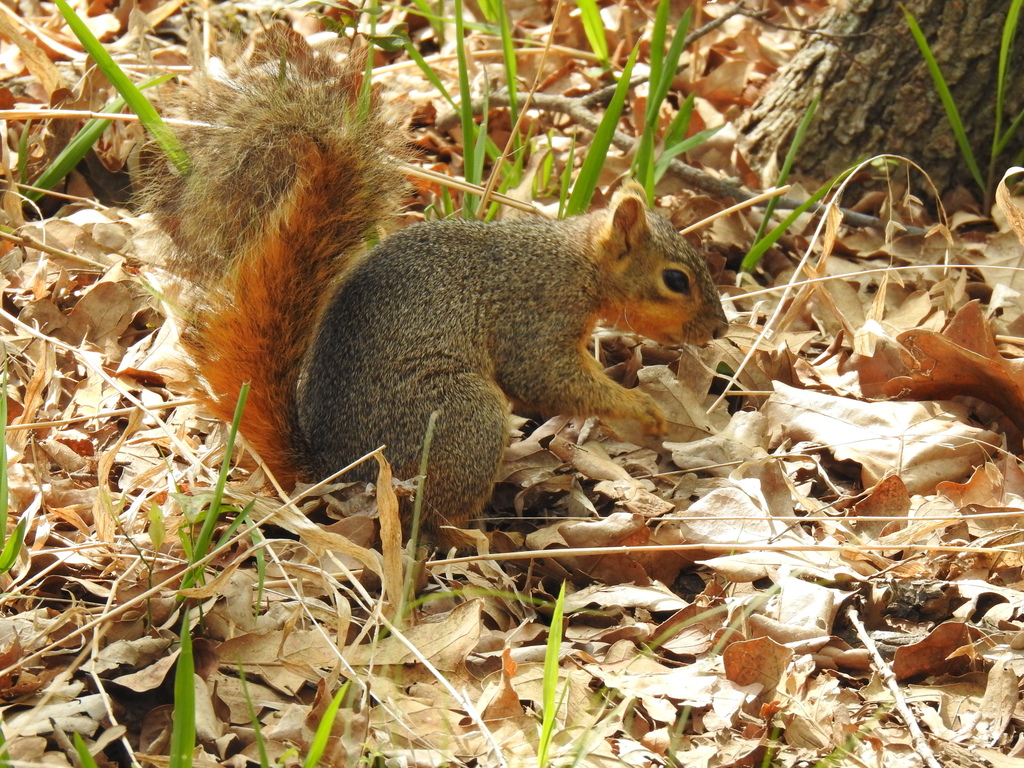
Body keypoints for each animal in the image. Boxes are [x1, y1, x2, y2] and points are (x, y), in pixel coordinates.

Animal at [140, 28, 729, 550]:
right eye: (676, 280)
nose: (720, 328)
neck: (578, 263)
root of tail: (334, 473)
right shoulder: (535, 314)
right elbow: (546, 378)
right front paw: (639, 406)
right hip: (462, 419)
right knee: (434, 515)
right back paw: (475, 535)